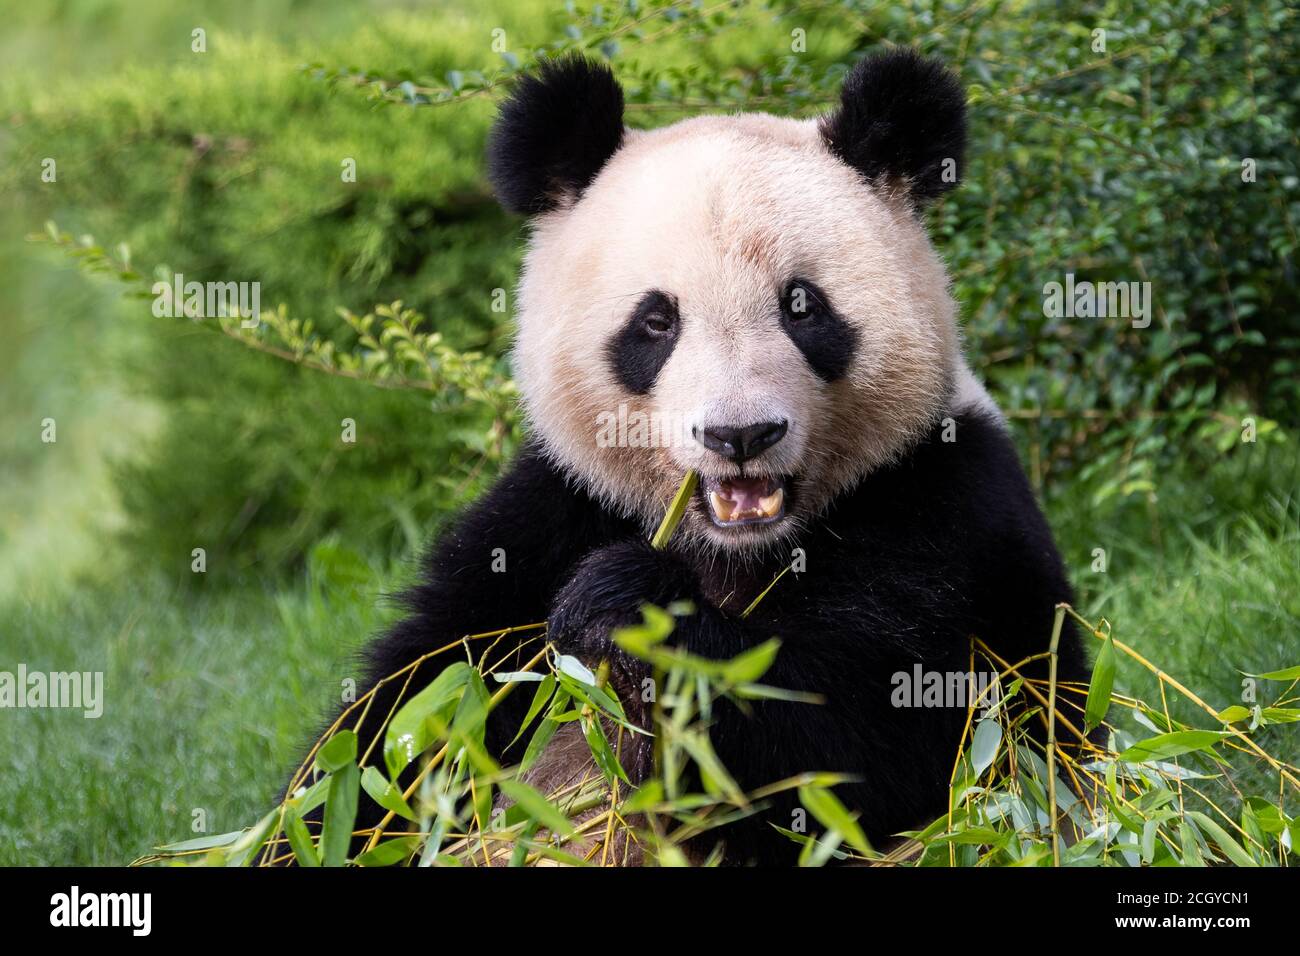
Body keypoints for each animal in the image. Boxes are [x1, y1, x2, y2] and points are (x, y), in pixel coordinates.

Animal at [286, 49, 1090, 865]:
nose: (741, 436)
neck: (732, 547)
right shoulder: (554, 517)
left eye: (803, 306)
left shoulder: (938, 503)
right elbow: (410, 716)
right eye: (656, 321)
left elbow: (869, 741)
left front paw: (629, 609)